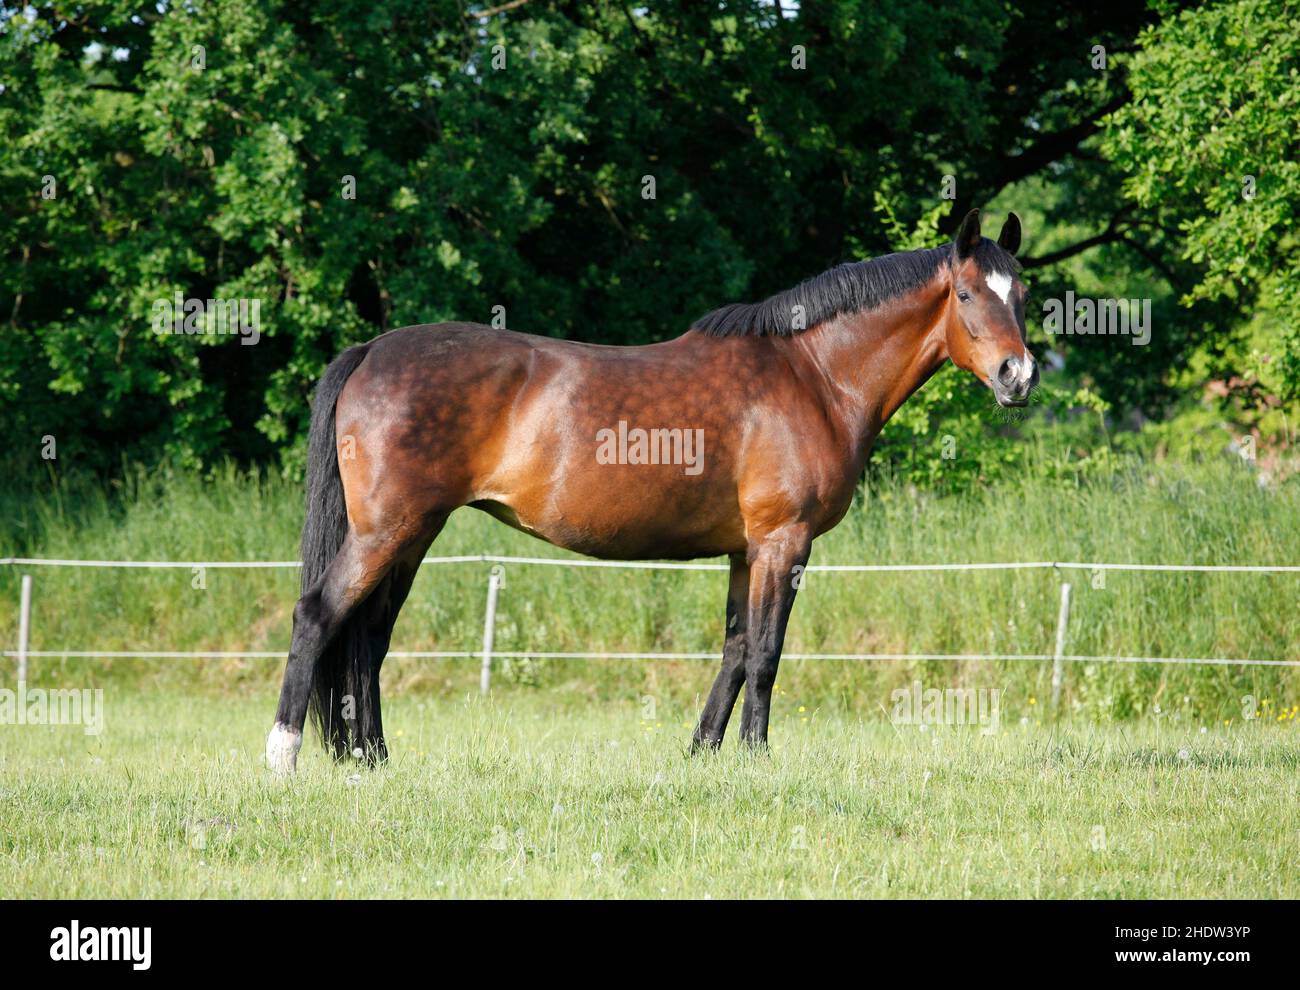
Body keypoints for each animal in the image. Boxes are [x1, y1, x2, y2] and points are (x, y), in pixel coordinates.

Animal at [265, 208, 1037, 772]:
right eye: (966, 294)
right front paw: (756, 760)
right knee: (319, 615)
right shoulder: (782, 543)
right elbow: (765, 653)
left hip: (413, 532)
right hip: (388, 530)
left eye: (1024, 297)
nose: (1019, 376)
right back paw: (285, 756)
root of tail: (373, 350)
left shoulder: (745, 551)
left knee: (368, 634)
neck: (813, 374)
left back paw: (372, 759)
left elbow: (734, 650)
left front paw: (704, 755)